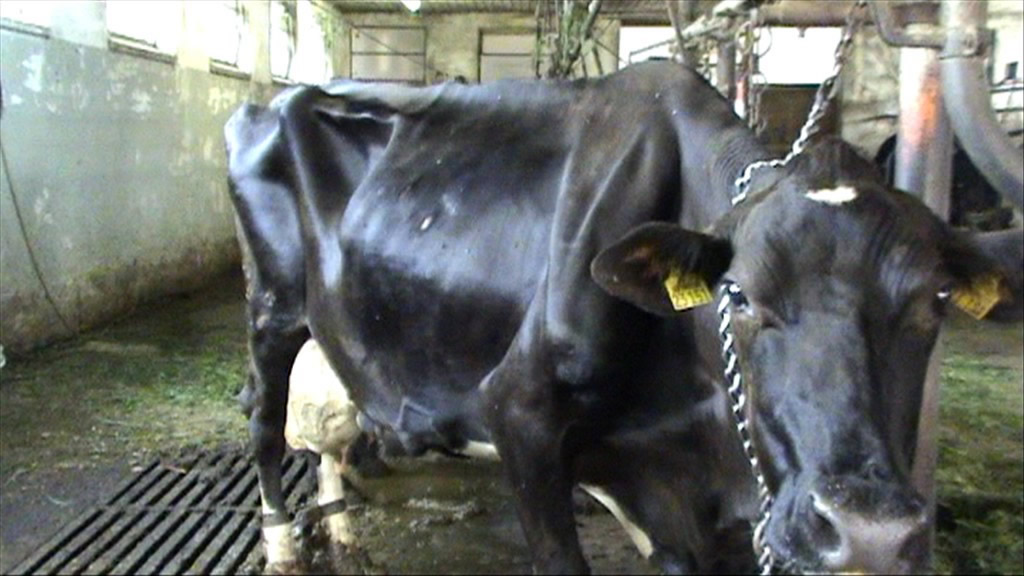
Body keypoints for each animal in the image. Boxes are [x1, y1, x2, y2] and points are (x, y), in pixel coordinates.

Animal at [224, 61, 1022, 574]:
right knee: (265, 418)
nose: (868, 534)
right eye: (737, 295)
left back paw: (344, 527)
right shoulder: (518, 414)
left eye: (936, 301)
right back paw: (284, 545)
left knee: (329, 428)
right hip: (272, 305)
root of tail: (271, 99)